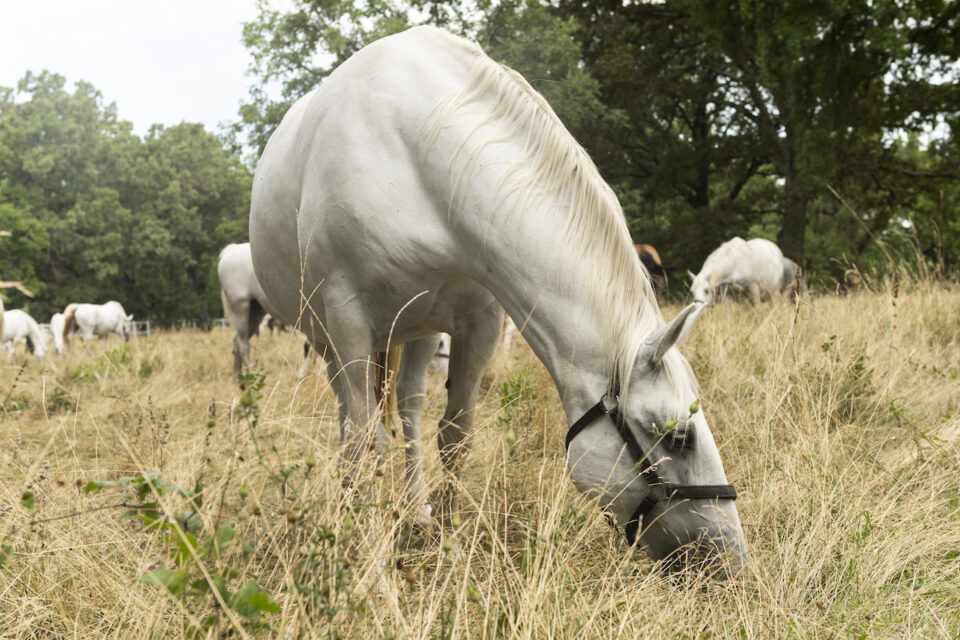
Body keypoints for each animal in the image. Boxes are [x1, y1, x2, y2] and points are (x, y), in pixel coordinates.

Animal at [249, 26, 745, 573]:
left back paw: (415, 510)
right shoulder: (347, 321)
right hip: (328, 340)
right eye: (678, 437)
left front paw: (448, 541)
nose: (730, 557)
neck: (417, 161)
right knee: (351, 422)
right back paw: (352, 503)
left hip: (418, 329)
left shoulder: (479, 321)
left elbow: (455, 434)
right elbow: (365, 440)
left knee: (409, 409)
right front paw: (370, 555)